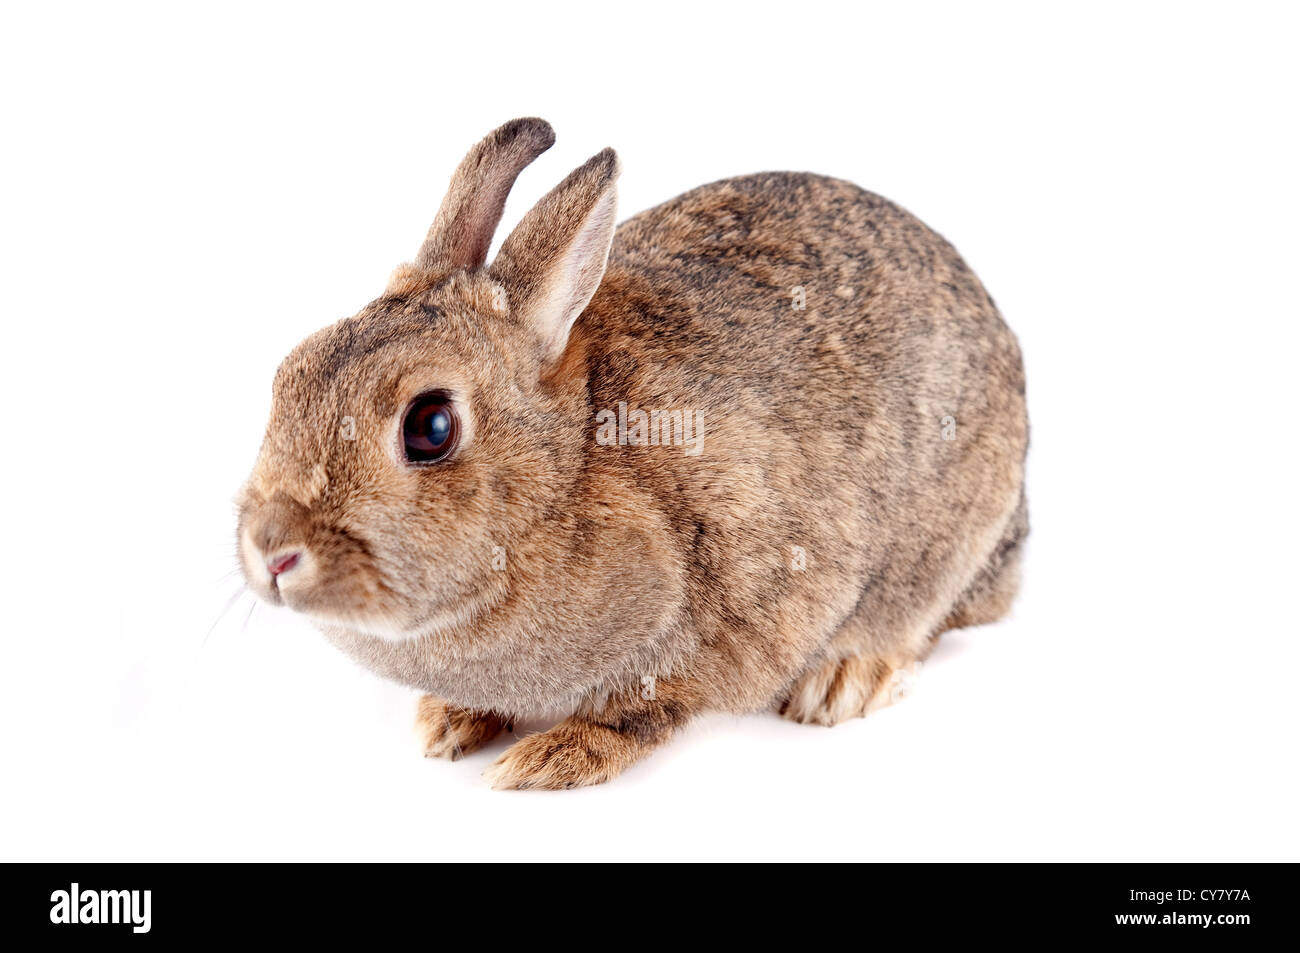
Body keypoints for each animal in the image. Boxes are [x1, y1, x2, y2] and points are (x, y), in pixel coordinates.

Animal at [236, 117, 1028, 789]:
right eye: (291, 372)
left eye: (429, 427)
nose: (272, 552)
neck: (561, 479)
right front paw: (448, 722)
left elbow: (647, 710)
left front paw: (550, 758)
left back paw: (841, 683)